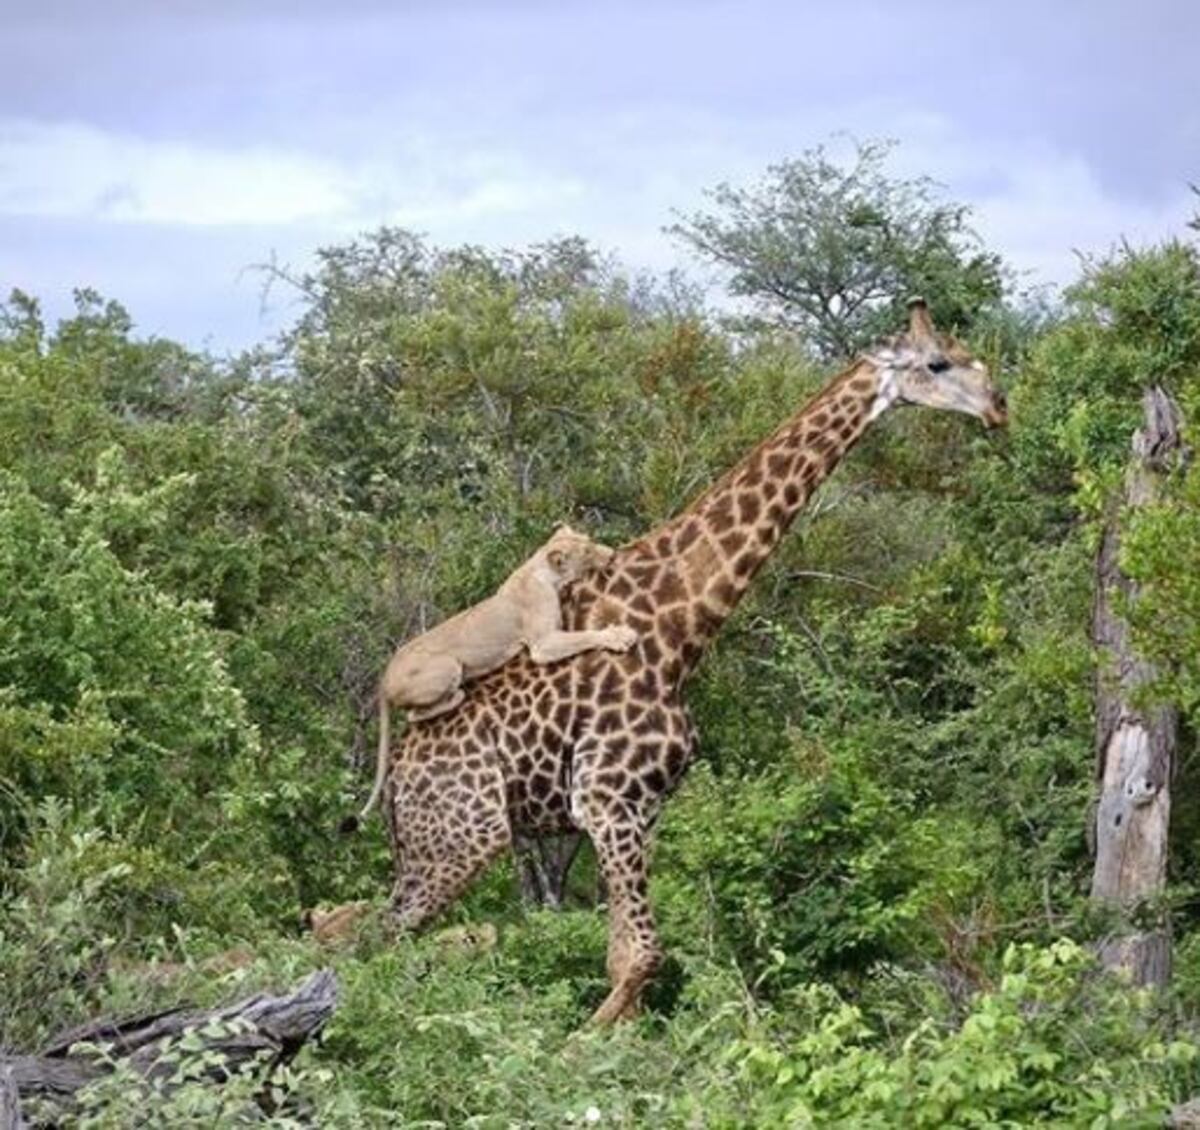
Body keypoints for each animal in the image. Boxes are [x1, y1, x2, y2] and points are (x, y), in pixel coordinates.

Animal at [346, 525, 636, 829]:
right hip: (449, 665)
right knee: (416, 713)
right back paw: (459, 694)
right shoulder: (543, 645)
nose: (612, 554)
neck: (542, 569)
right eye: (588, 551)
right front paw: (619, 635)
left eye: (589, 541)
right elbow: (585, 636)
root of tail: (383, 680)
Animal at [380, 299, 1007, 1023]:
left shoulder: (640, 808)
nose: (999, 405)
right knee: (378, 937)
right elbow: (644, 955)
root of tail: (394, 781)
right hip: (463, 839)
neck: (681, 627)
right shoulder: (607, 799)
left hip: (437, 848)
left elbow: (622, 955)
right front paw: (584, 1044)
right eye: (938, 362)